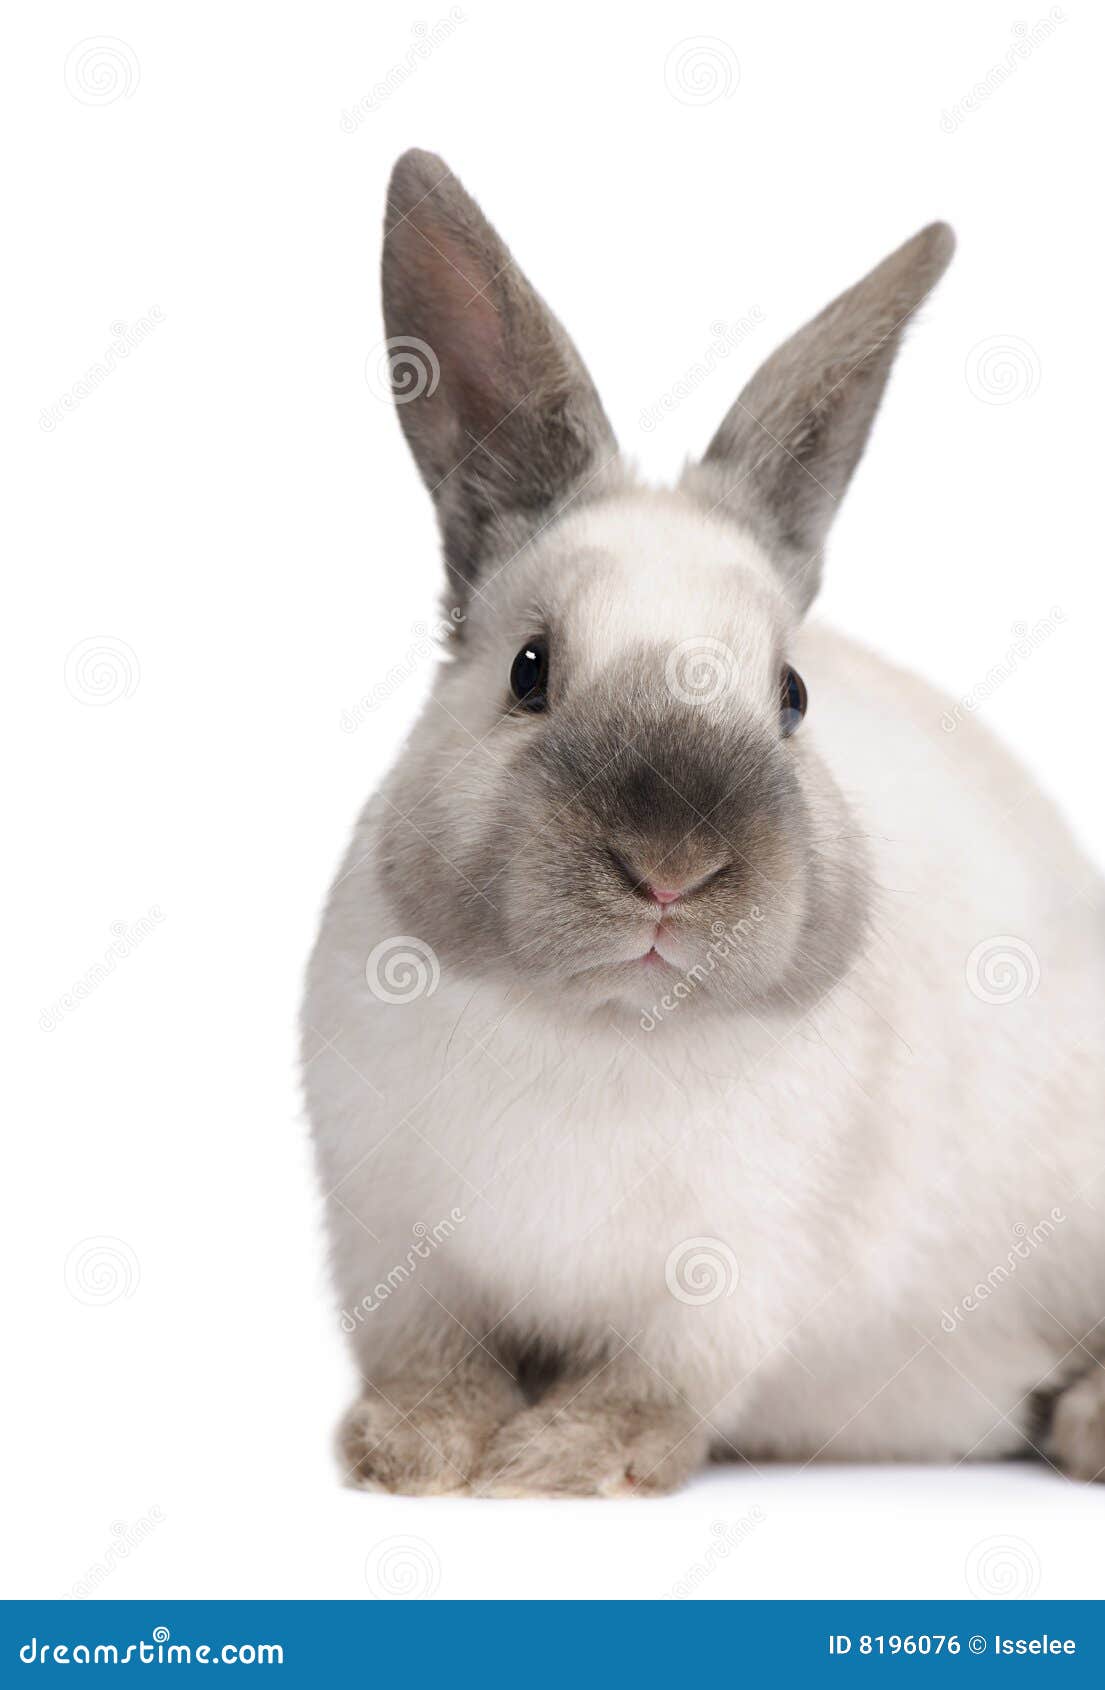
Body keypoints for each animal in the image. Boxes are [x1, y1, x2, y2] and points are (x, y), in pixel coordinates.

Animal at [301, 149, 1105, 1498]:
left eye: (790, 695)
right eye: (528, 669)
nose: (670, 868)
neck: (601, 1030)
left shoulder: (726, 1283)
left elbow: (653, 1387)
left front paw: (557, 1460)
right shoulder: (398, 1251)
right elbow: (436, 1361)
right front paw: (410, 1452)